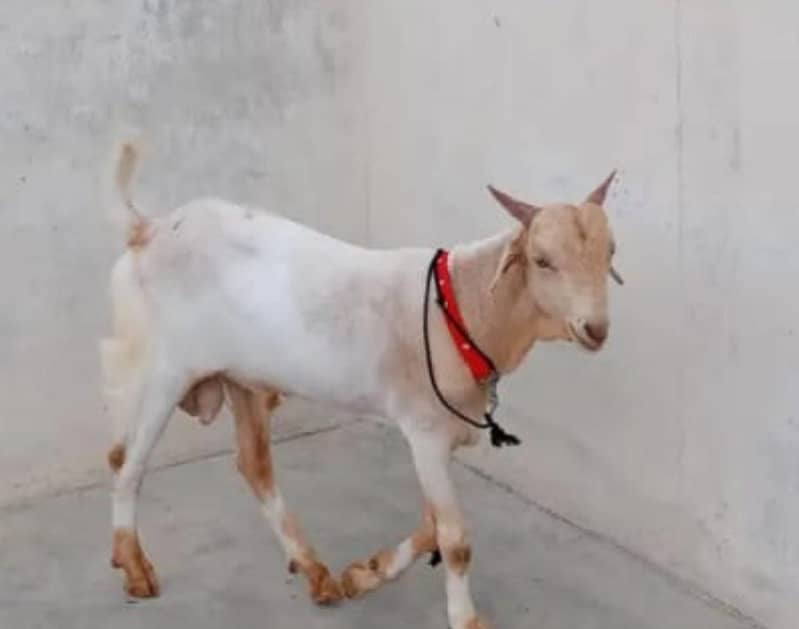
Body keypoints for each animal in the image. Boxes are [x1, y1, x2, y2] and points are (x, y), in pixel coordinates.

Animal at [100, 141, 620, 629]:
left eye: (609, 251)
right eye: (541, 259)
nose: (594, 328)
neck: (460, 308)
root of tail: (147, 228)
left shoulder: (444, 434)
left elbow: (431, 525)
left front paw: (364, 574)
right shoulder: (424, 432)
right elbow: (453, 537)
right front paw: (465, 618)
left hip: (241, 377)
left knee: (254, 466)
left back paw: (315, 572)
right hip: (167, 365)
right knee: (128, 460)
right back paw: (135, 566)